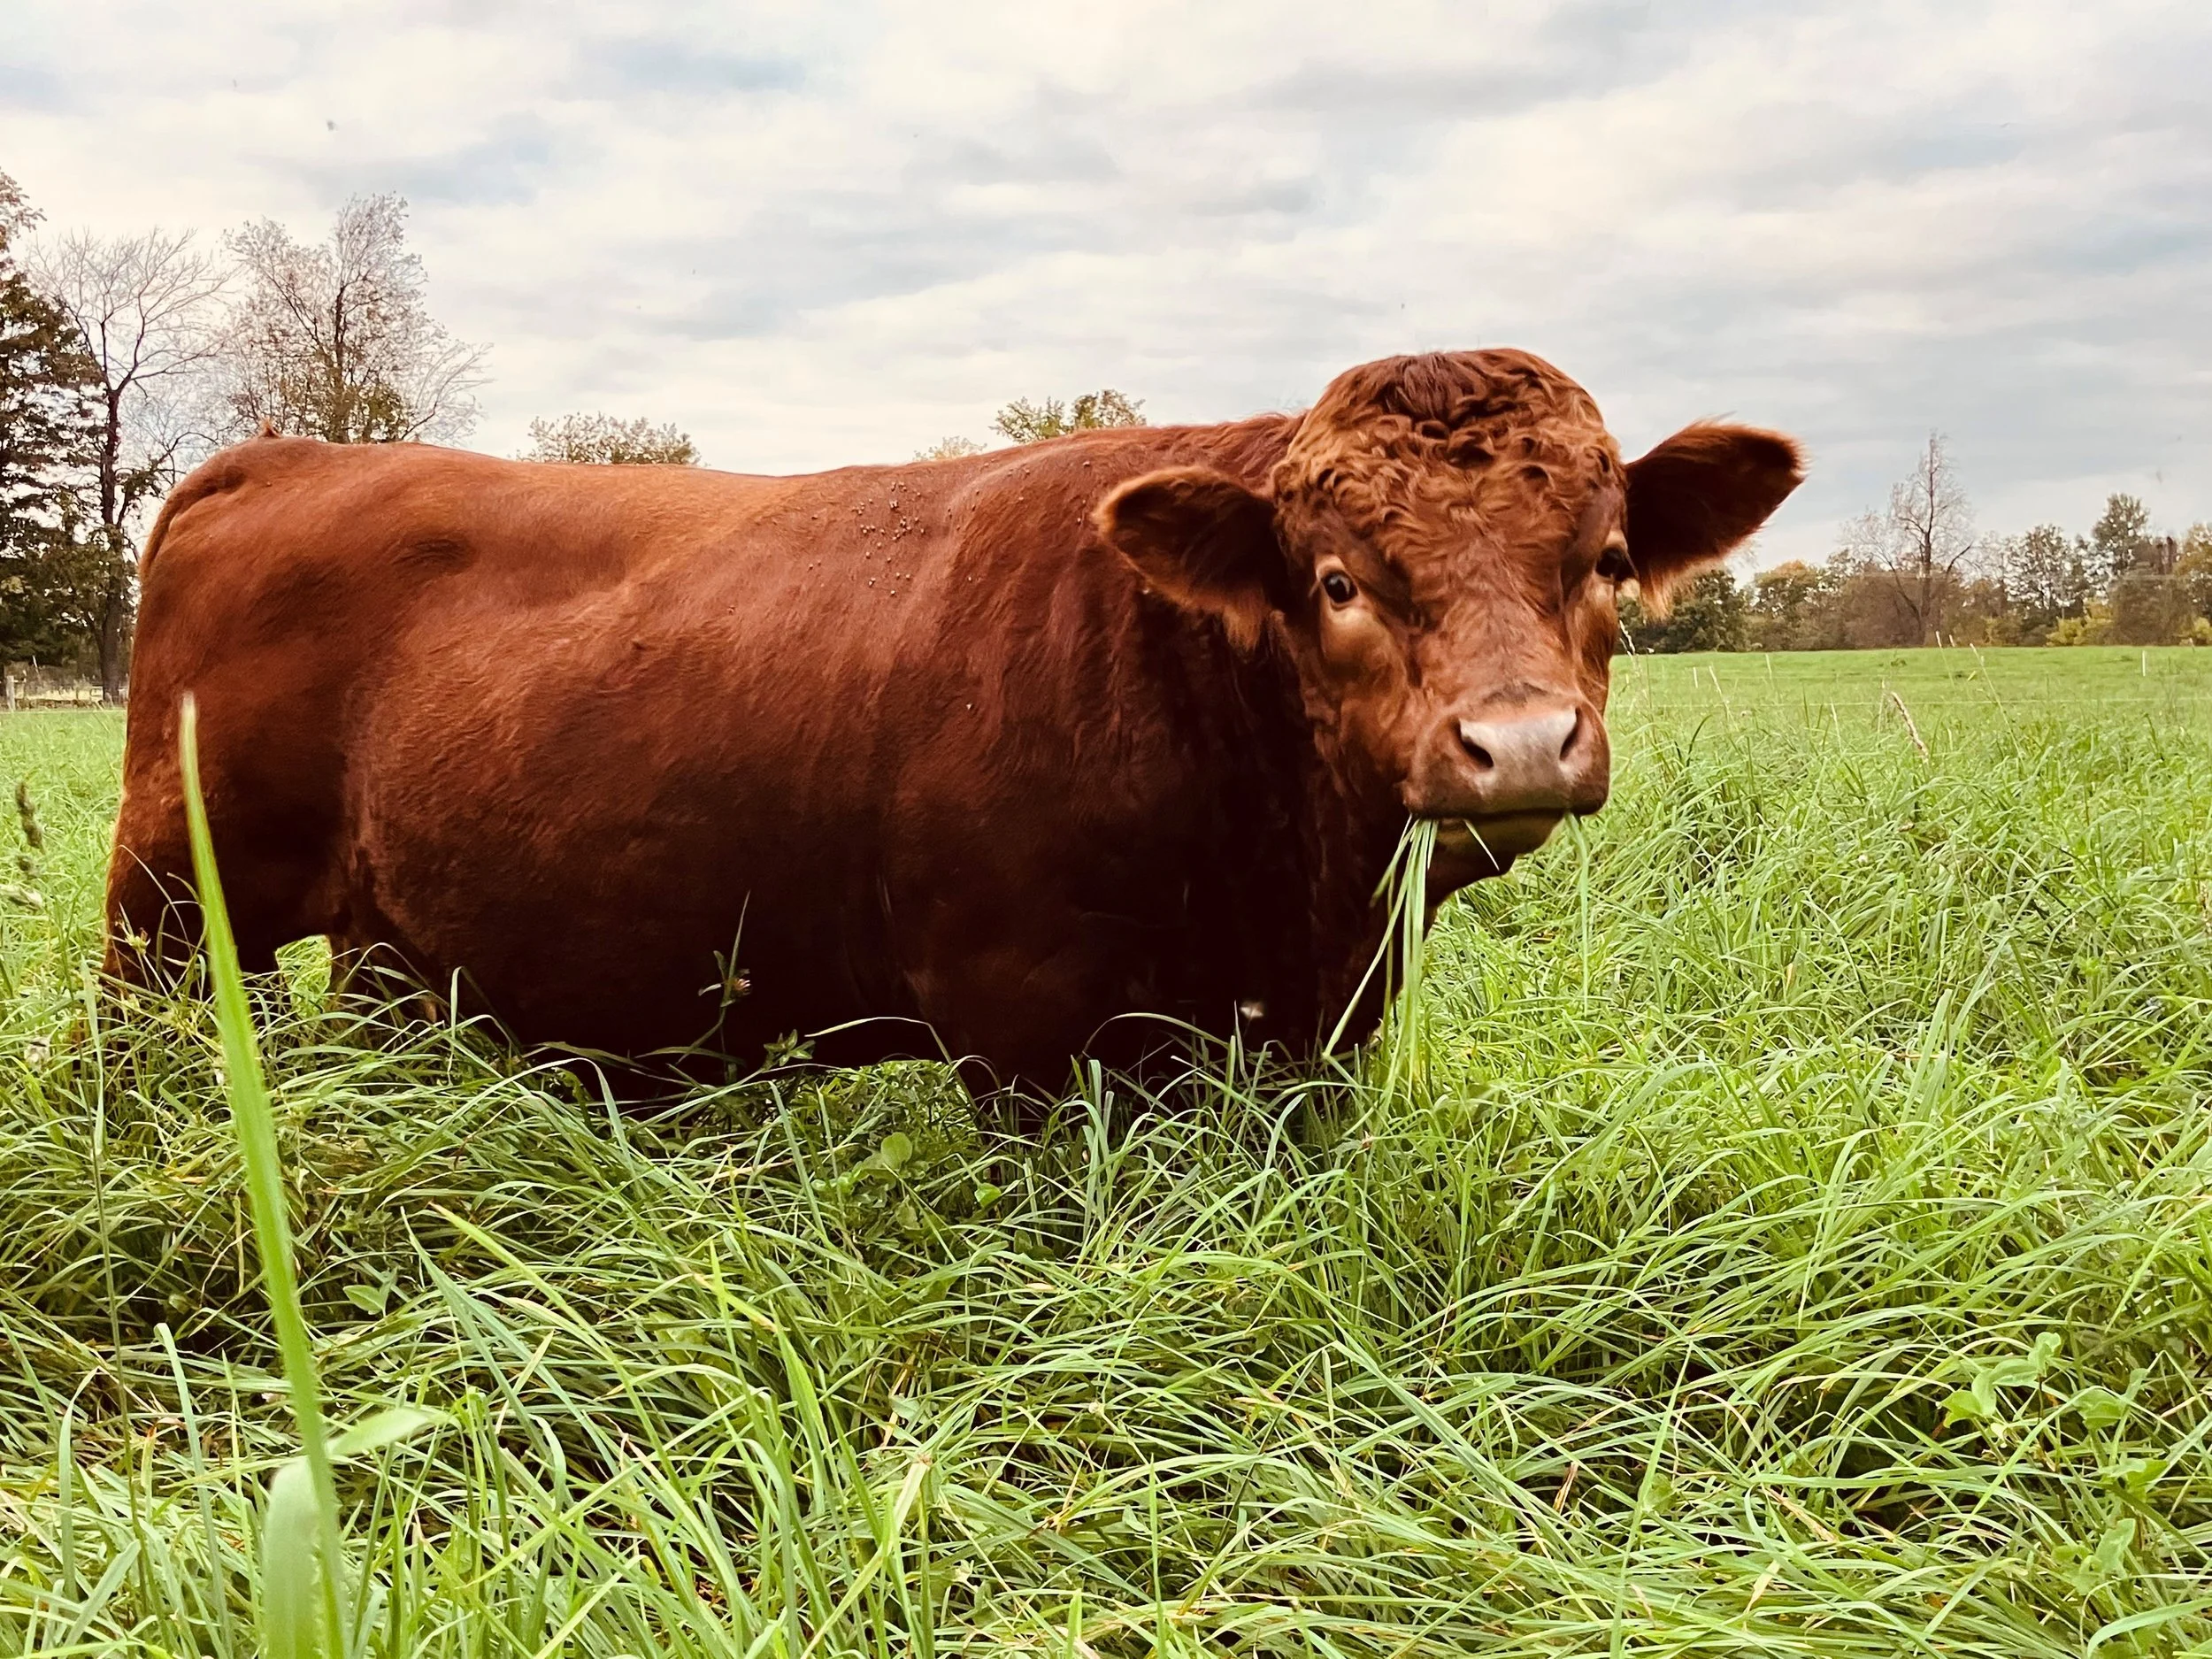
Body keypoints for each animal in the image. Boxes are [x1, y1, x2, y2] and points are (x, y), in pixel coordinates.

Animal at [105, 349, 1800, 1093]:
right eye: (1336, 580)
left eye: (1607, 559)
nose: (1518, 744)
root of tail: (284, 454)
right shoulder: (1024, 1024)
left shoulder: (1310, 1035)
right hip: (172, 898)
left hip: (399, 942)